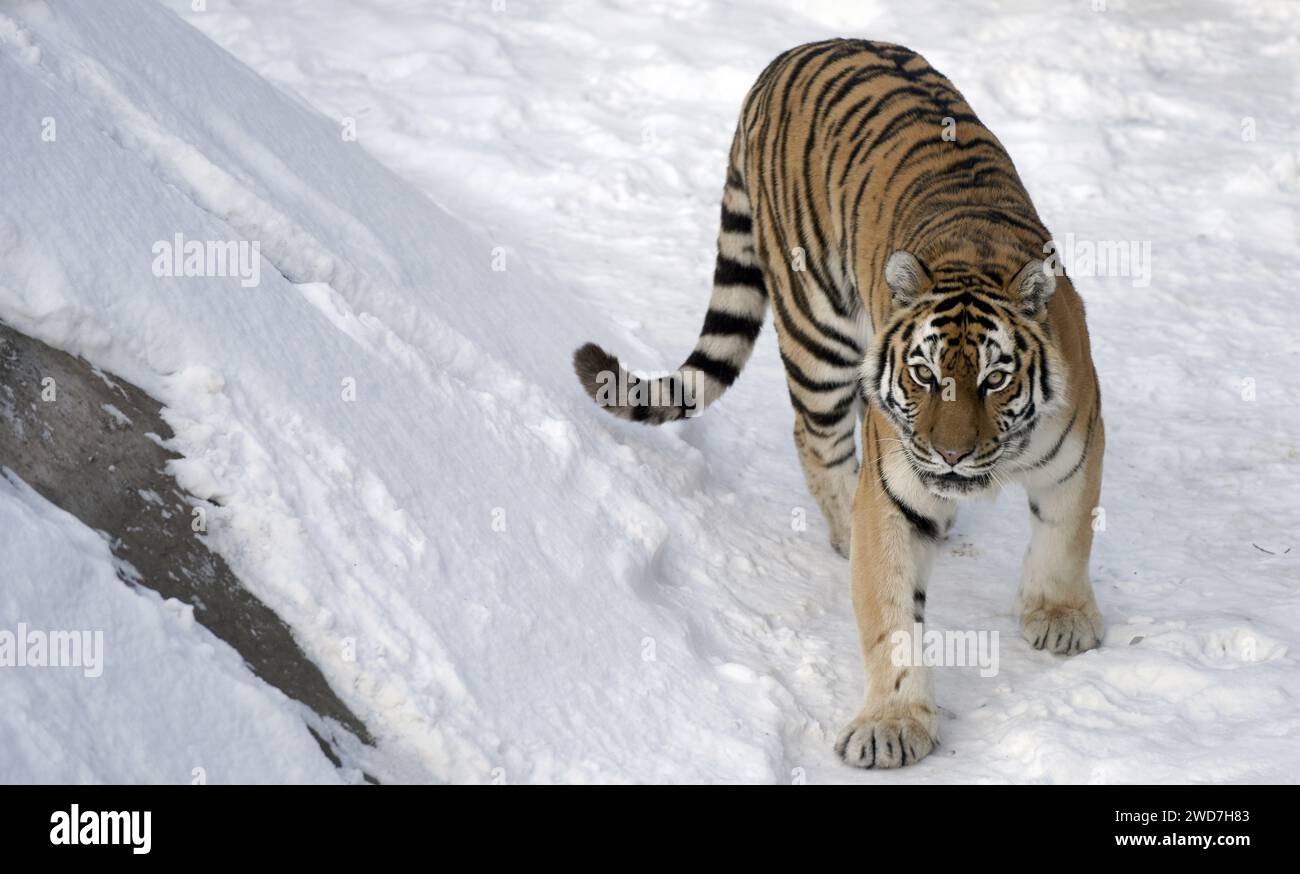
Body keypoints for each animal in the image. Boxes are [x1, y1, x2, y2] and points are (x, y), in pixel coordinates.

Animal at [573, 39, 1104, 768]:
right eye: (924, 374)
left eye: (994, 380)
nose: (951, 455)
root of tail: (791, 54)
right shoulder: (894, 488)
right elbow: (892, 612)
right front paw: (892, 724)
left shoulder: (1078, 445)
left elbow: (1065, 536)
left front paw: (1059, 619)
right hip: (815, 329)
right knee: (815, 439)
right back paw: (845, 526)